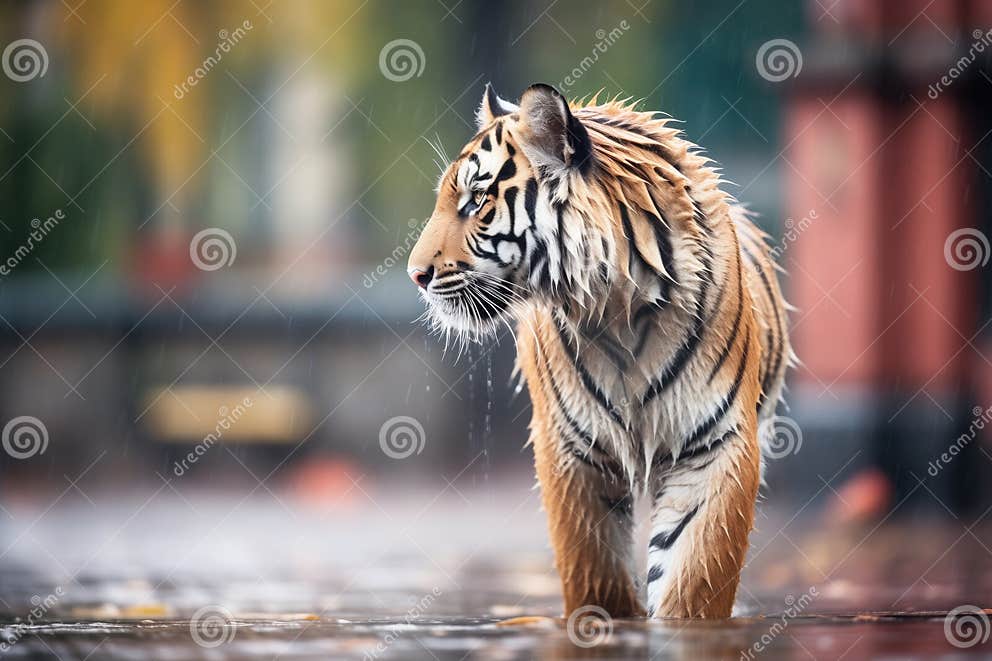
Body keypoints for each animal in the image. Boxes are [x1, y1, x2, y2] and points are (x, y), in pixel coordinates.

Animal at [407, 83, 791, 619]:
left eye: (478, 200)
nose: (415, 275)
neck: (618, 308)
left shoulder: (714, 445)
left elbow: (692, 583)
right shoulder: (573, 452)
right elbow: (595, 576)